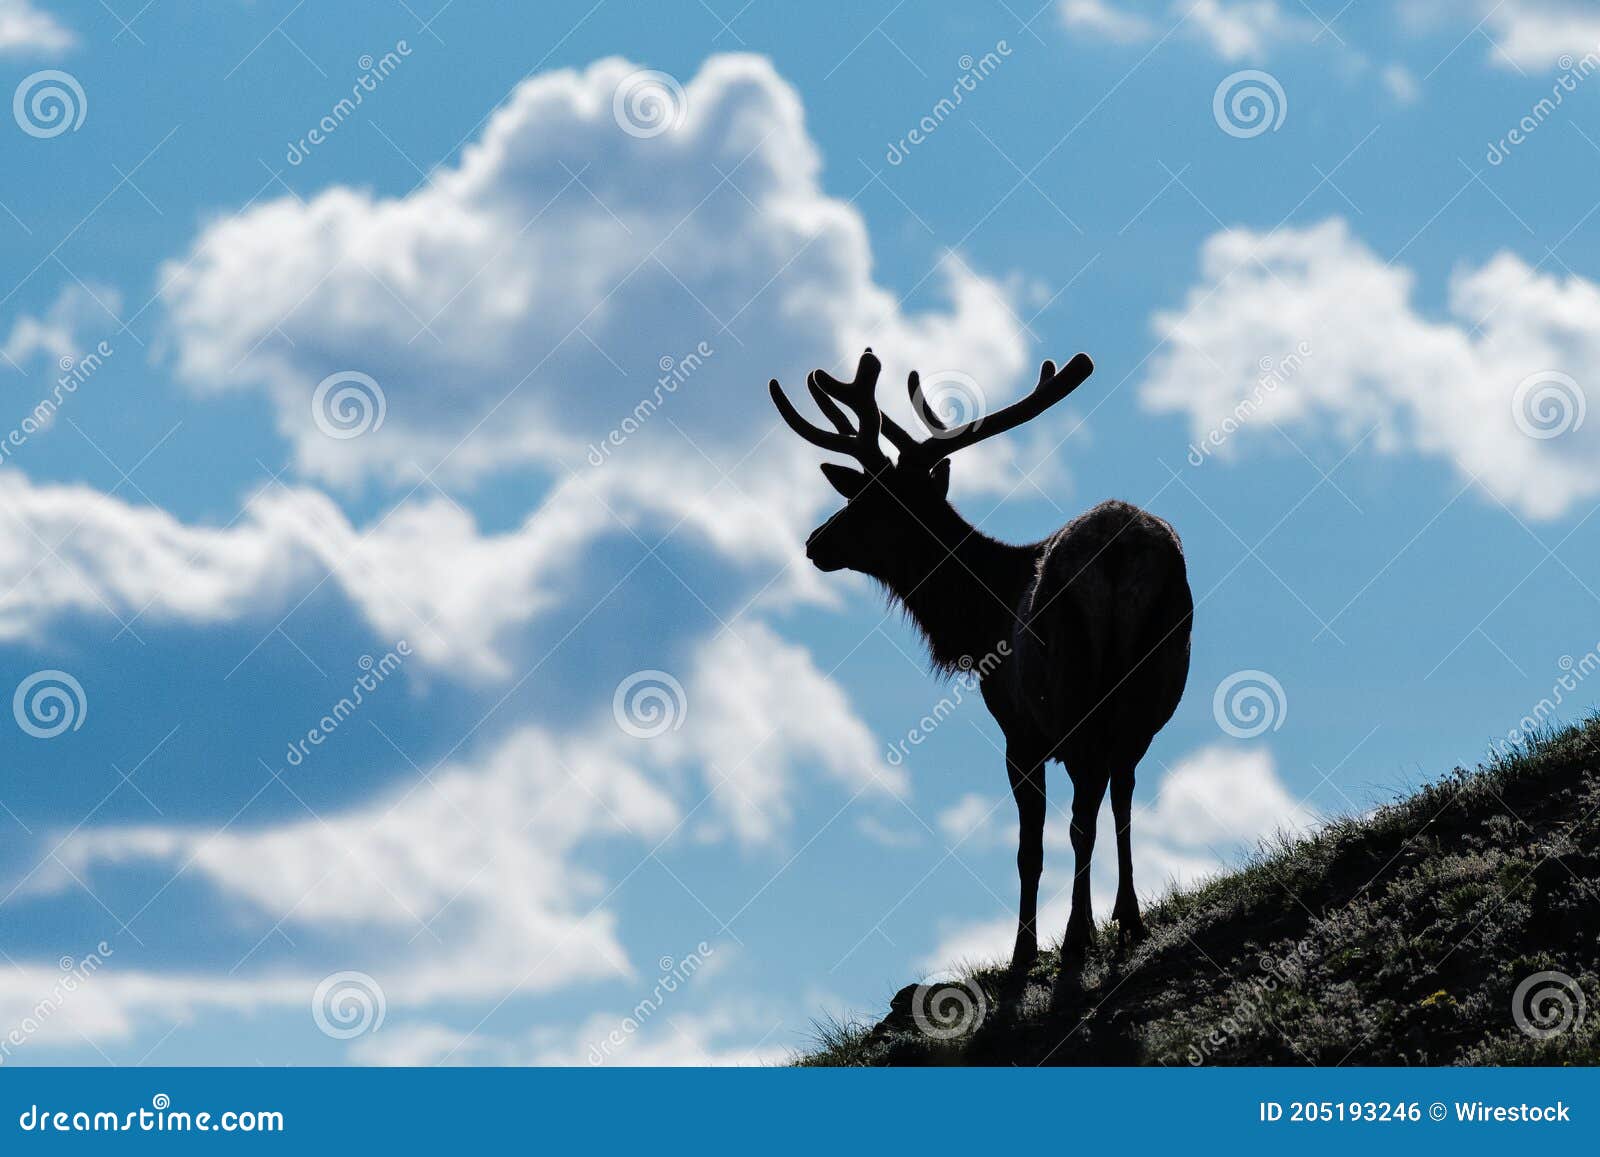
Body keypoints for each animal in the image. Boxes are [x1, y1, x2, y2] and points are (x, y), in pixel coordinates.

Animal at [770, 348, 1193, 989]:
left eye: (874, 502)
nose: (815, 542)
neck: (976, 623)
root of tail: (1119, 557)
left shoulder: (1019, 731)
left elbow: (1030, 848)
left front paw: (1026, 953)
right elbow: (1114, 804)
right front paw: (1117, 922)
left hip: (1070, 693)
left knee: (1083, 814)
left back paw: (1076, 937)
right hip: (1150, 688)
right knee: (1120, 793)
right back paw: (1126, 921)